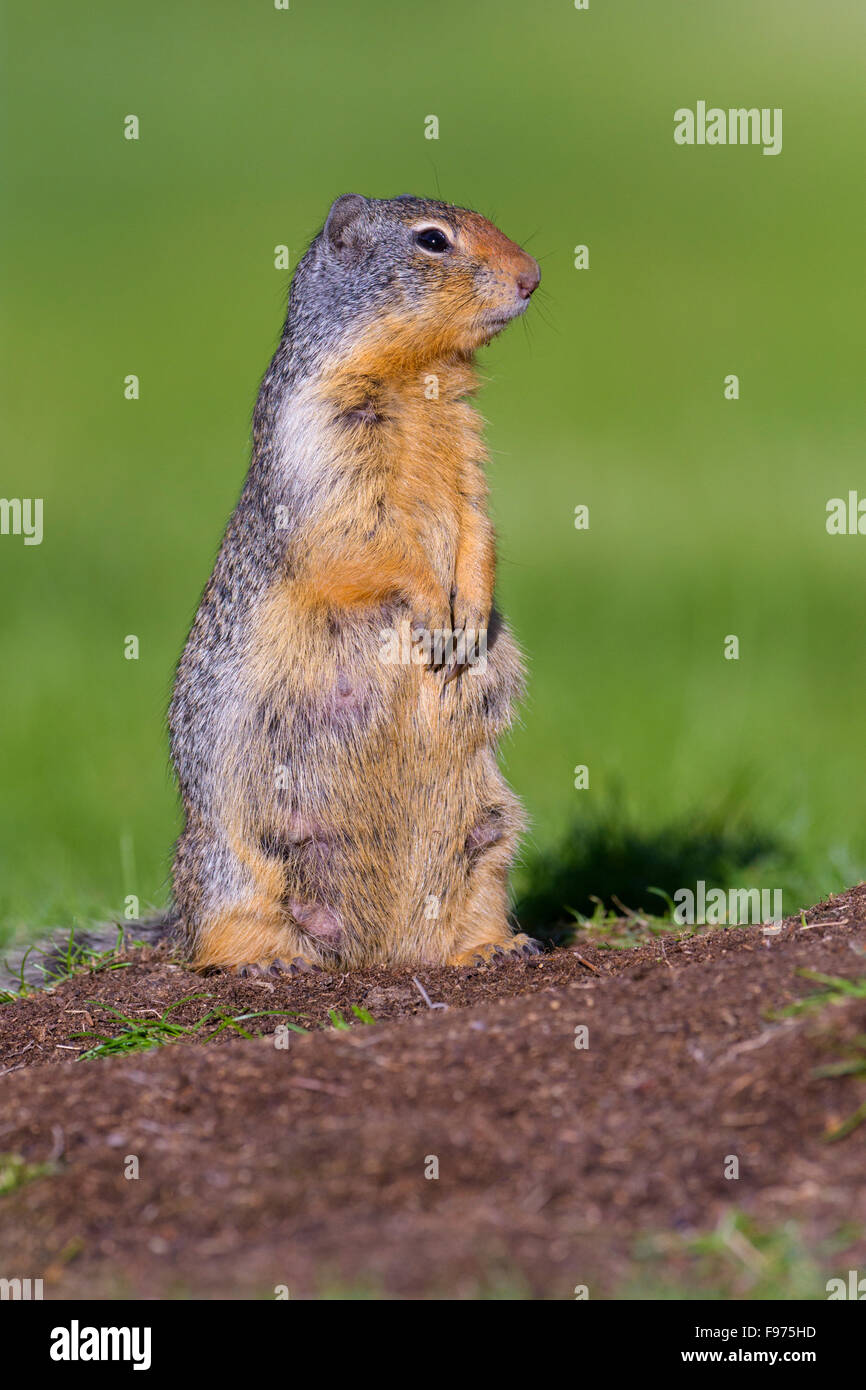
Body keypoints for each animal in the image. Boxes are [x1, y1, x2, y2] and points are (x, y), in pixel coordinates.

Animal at [168, 193, 541, 973]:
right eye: (432, 241)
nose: (533, 277)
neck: (419, 375)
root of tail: (380, 953)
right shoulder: (323, 437)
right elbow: (362, 538)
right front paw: (434, 612)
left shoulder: (468, 452)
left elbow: (478, 524)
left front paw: (471, 615)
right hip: (230, 861)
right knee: (210, 936)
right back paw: (265, 960)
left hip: (489, 828)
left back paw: (494, 947)